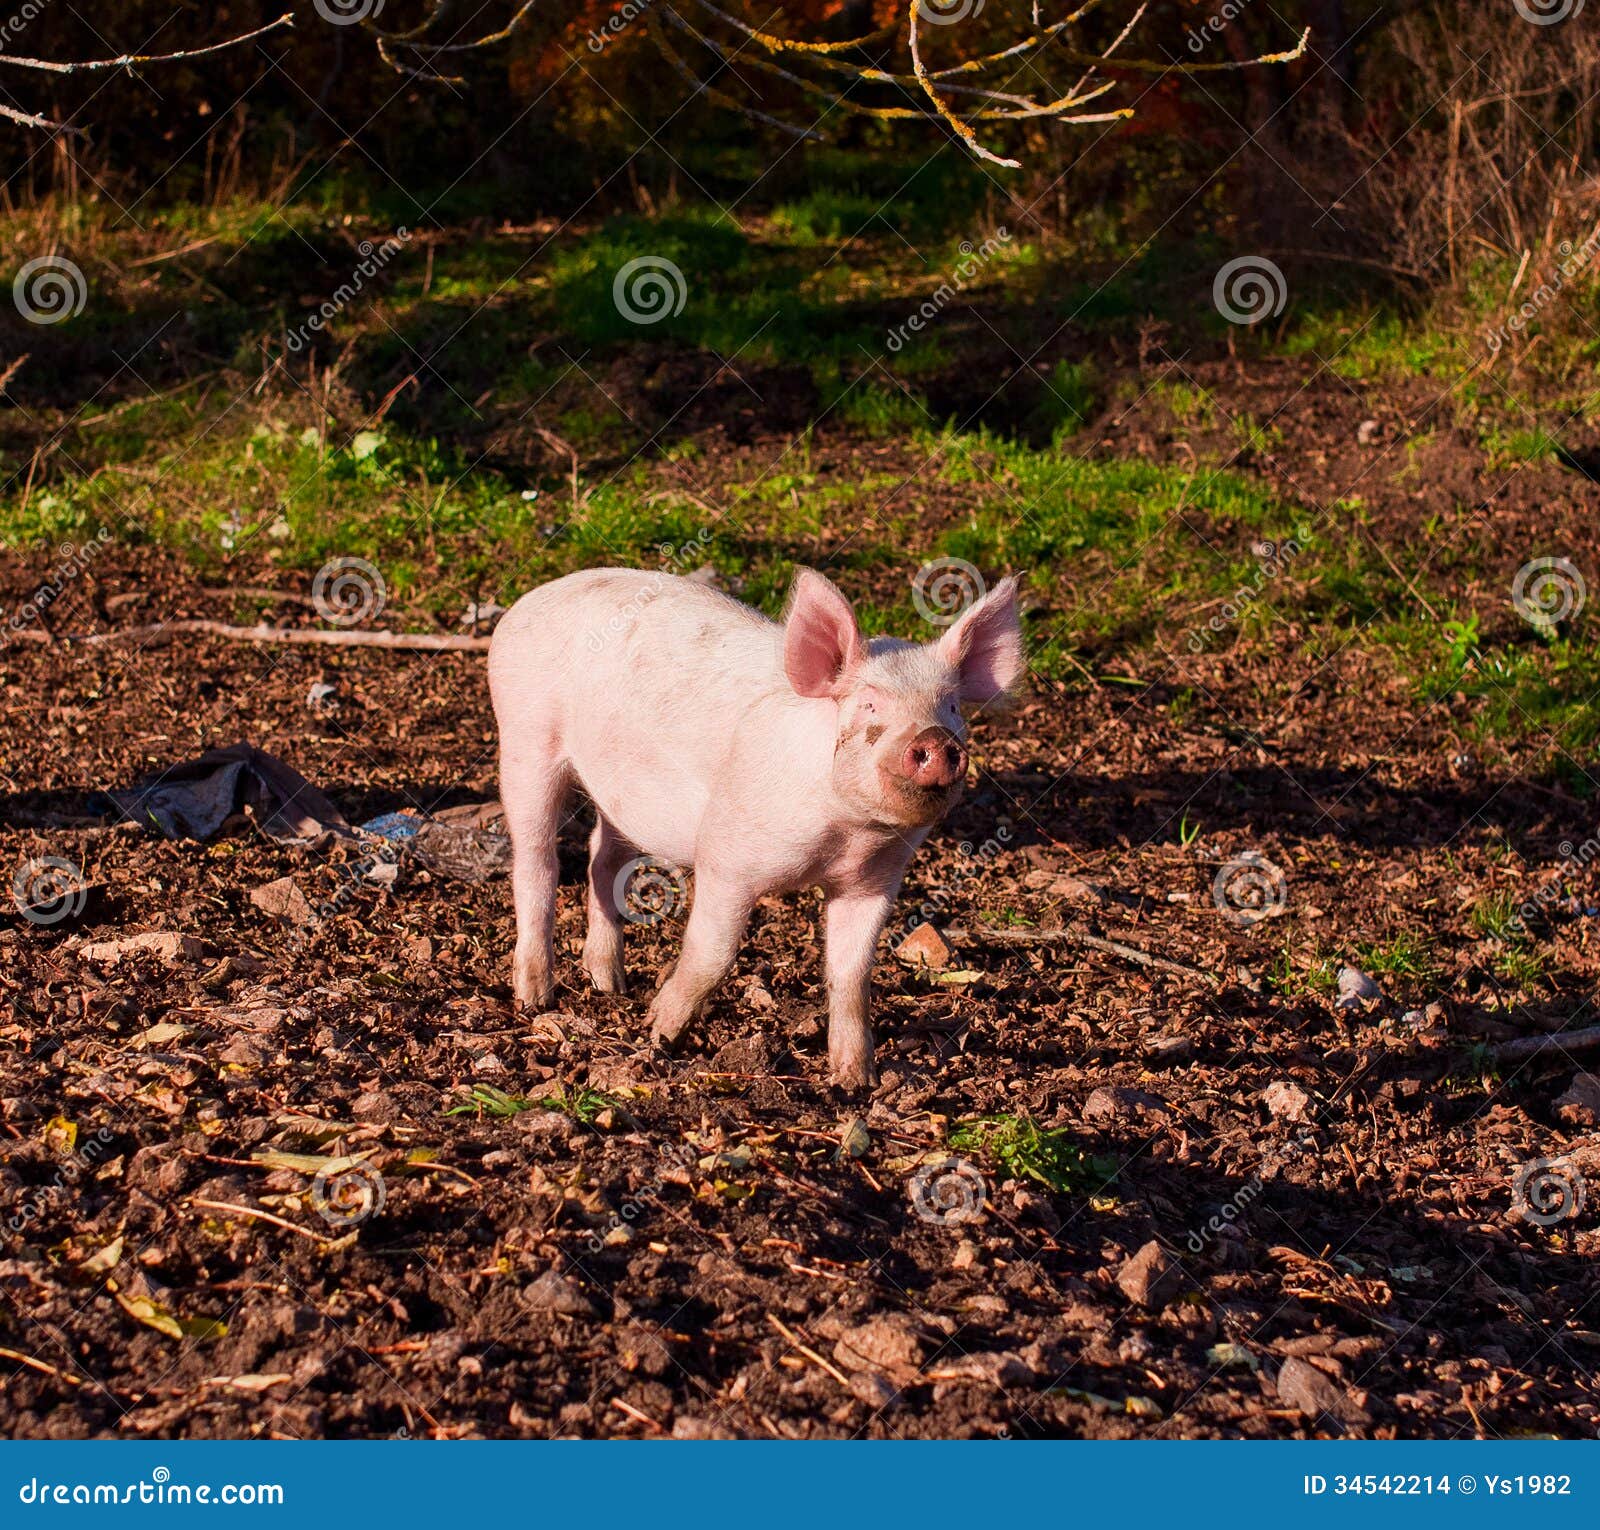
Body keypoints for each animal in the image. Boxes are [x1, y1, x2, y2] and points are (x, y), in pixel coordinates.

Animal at [487, 565, 1023, 1089]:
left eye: (950, 706)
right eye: (870, 703)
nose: (935, 740)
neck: (848, 834)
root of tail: (527, 602)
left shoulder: (875, 879)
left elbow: (853, 971)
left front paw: (855, 1081)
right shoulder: (727, 856)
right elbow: (714, 952)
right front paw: (658, 1031)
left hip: (618, 794)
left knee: (602, 859)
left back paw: (610, 984)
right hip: (524, 739)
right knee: (537, 864)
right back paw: (536, 998)